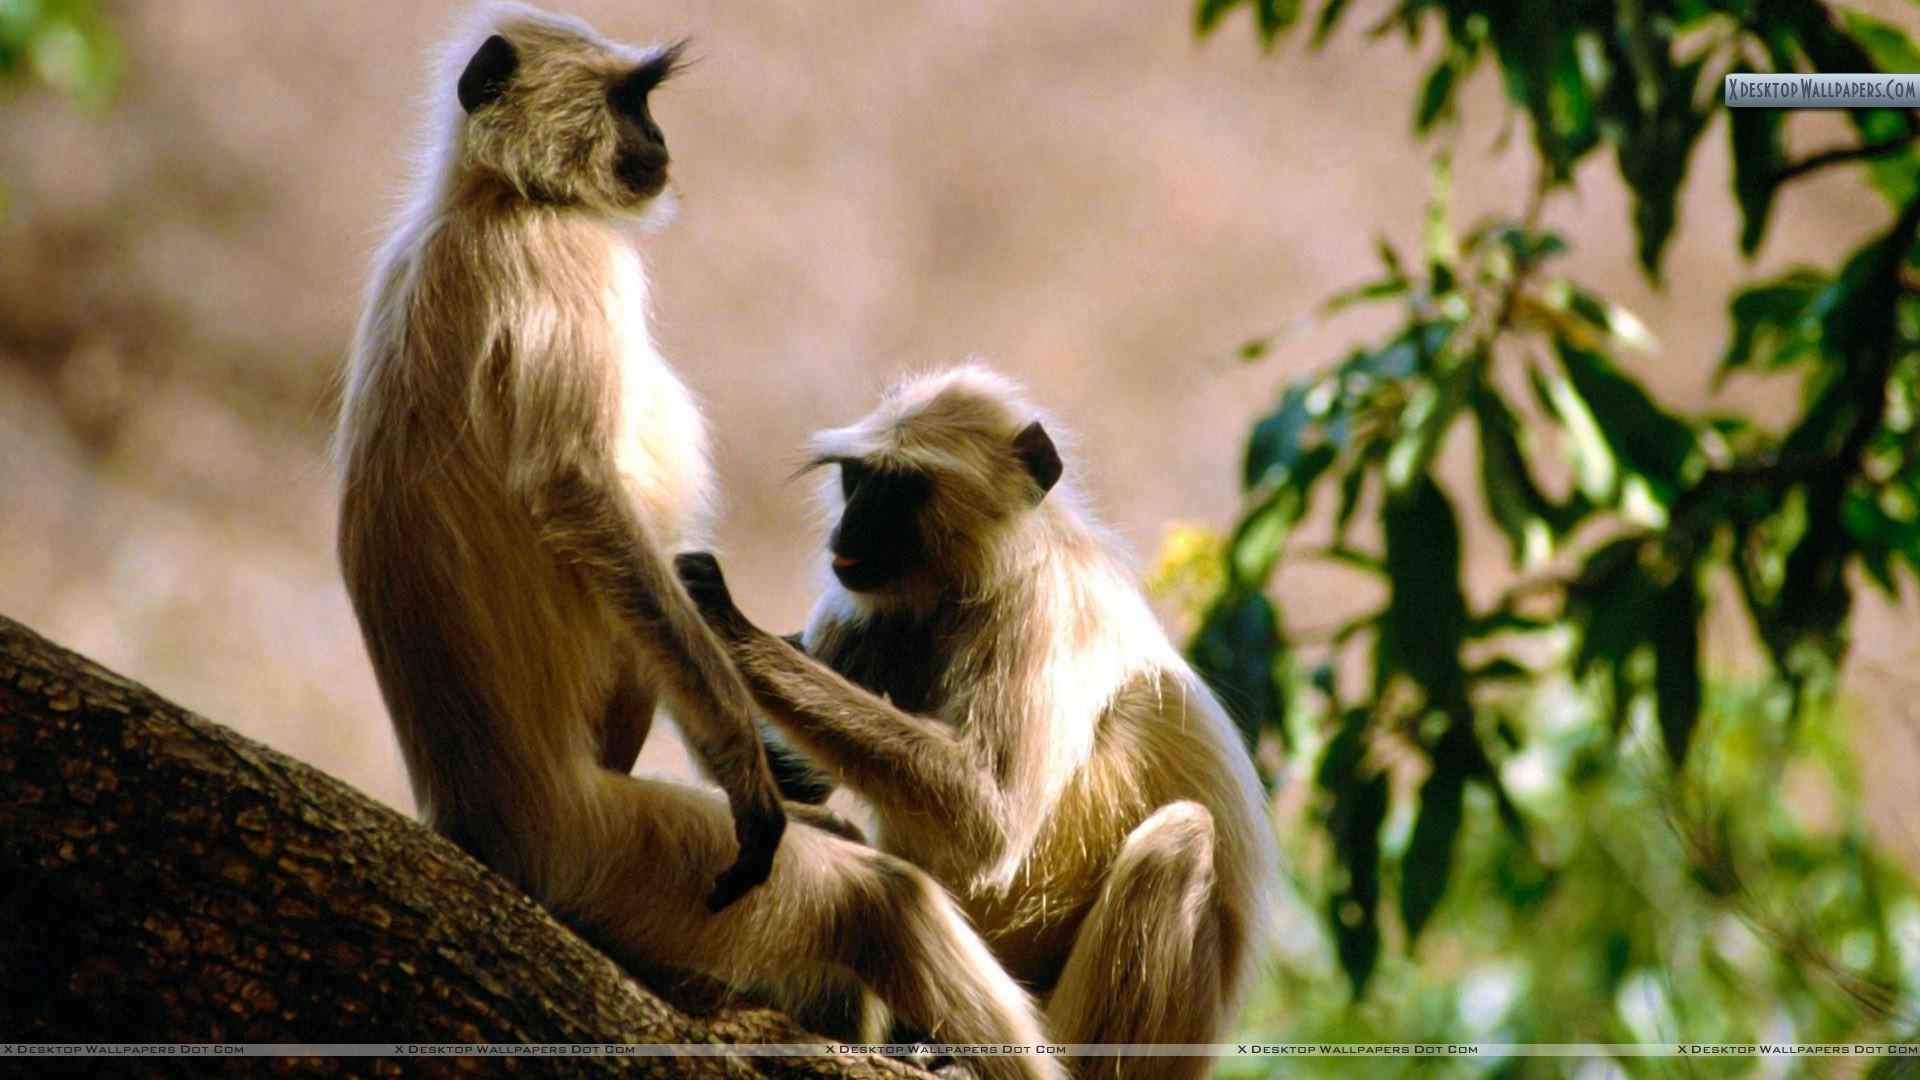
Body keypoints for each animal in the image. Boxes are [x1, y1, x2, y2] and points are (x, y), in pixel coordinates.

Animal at [335, 8, 1060, 1071]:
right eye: (630, 100)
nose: (661, 141)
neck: (489, 202)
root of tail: (478, 829)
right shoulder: (561, 256)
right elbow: (573, 491)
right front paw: (748, 773)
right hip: (617, 856)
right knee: (883, 904)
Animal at [676, 365, 1281, 1079]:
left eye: (900, 490)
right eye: (857, 479)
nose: (849, 530)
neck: (974, 580)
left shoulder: (1044, 604)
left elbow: (991, 819)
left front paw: (724, 623)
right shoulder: (871, 609)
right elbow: (795, 782)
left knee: (1180, 840)